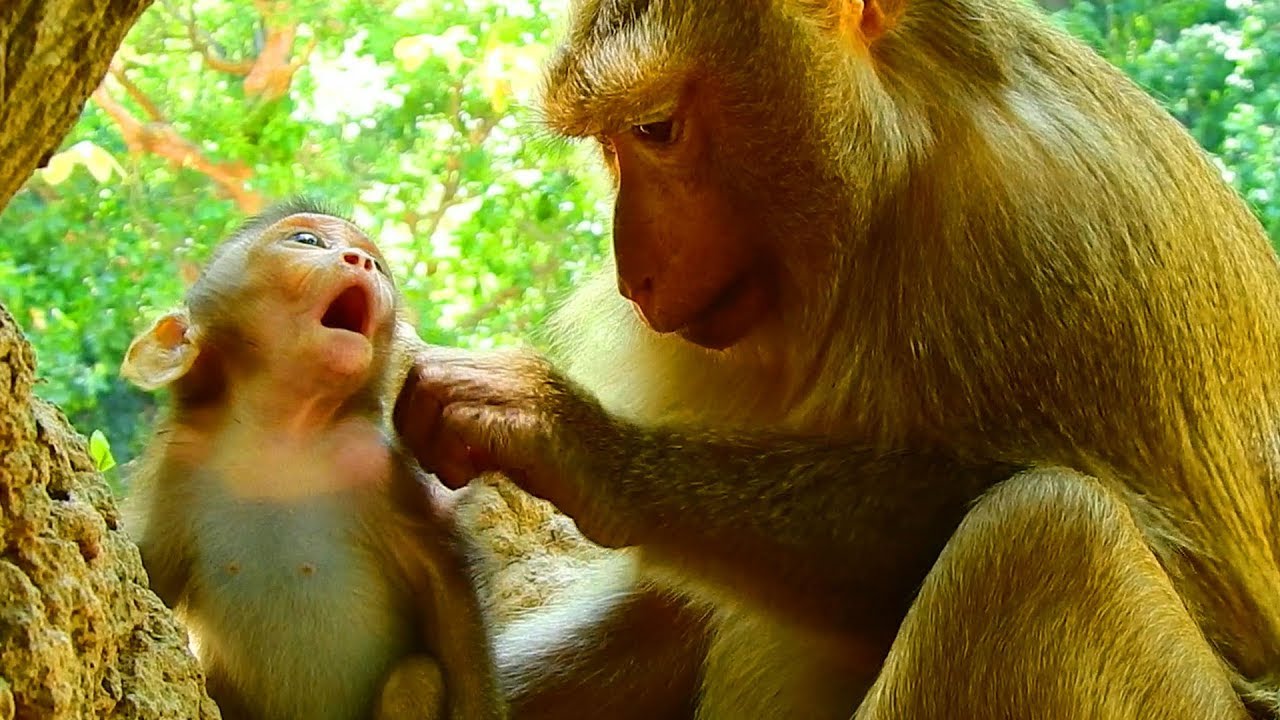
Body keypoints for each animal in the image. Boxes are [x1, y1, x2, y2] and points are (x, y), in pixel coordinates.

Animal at [120, 199, 506, 720]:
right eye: (306, 241)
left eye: (378, 264)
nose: (361, 261)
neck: (283, 431)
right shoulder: (177, 465)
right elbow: (149, 573)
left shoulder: (377, 465)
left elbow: (447, 592)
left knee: (417, 677)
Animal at [391, 0, 1280, 718]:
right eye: (613, 144)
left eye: (655, 130)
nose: (632, 276)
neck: (898, 174)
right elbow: (669, 612)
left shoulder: (1057, 235)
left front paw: (586, 448)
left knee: (1045, 533)